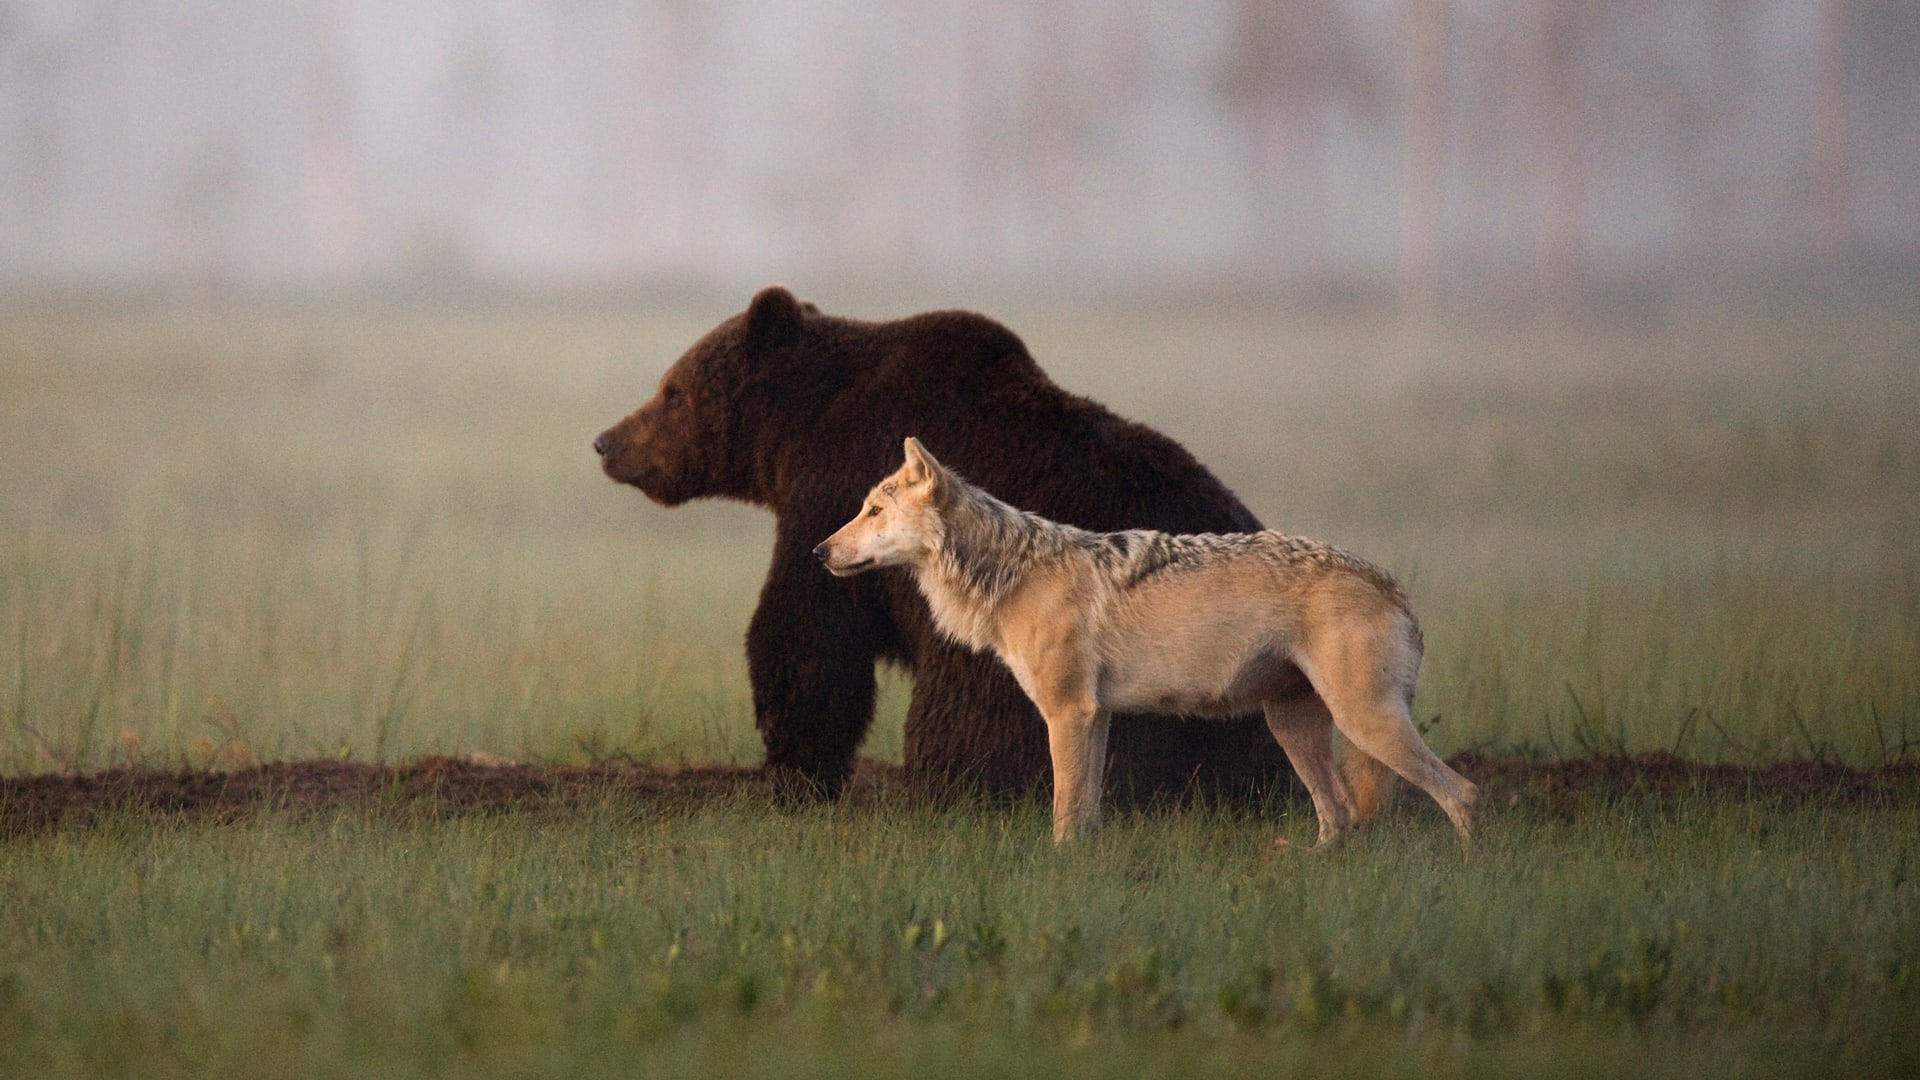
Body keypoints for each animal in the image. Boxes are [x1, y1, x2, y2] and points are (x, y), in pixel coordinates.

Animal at [594, 285, 1294, 804]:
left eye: (672, 391)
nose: (606, 441)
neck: (798, 431)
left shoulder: (832, 493)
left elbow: (807, 632)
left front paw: (795, 768)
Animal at [815, 437, 1479, 847]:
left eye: (872, 511)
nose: (818, 551)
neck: (1013, 574)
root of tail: (1393, 585)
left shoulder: (1068, 714)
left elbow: (1064, 810)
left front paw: (1058, 865)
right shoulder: (1095, 717)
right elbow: (1086, 810)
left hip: (1364, 723)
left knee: (1463, 793)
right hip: (1295, 728)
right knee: (1340, 817)